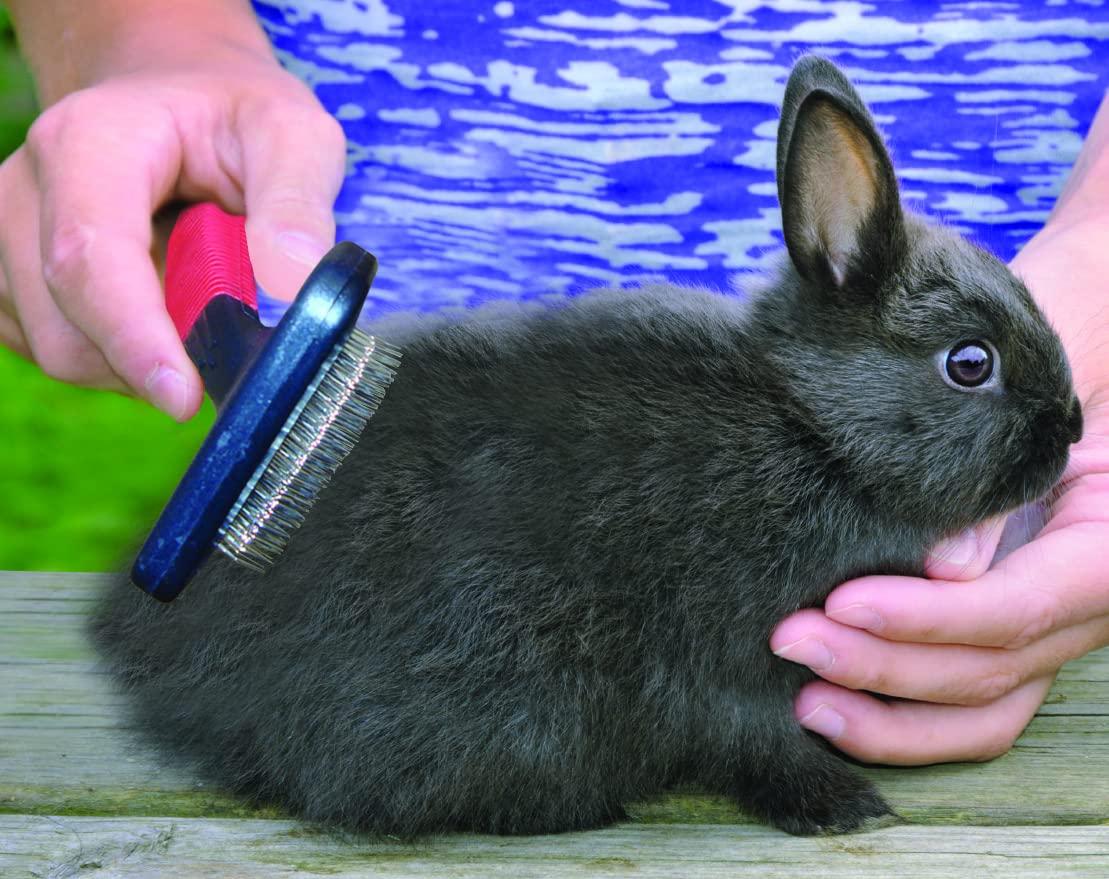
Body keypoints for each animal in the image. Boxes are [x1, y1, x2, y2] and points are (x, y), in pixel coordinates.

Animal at [90, 56, 1084, 837]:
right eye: (969, 363)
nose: (1073, 428)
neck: (810, 429)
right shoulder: (729, 651)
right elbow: (750, 732)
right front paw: (841, 805)